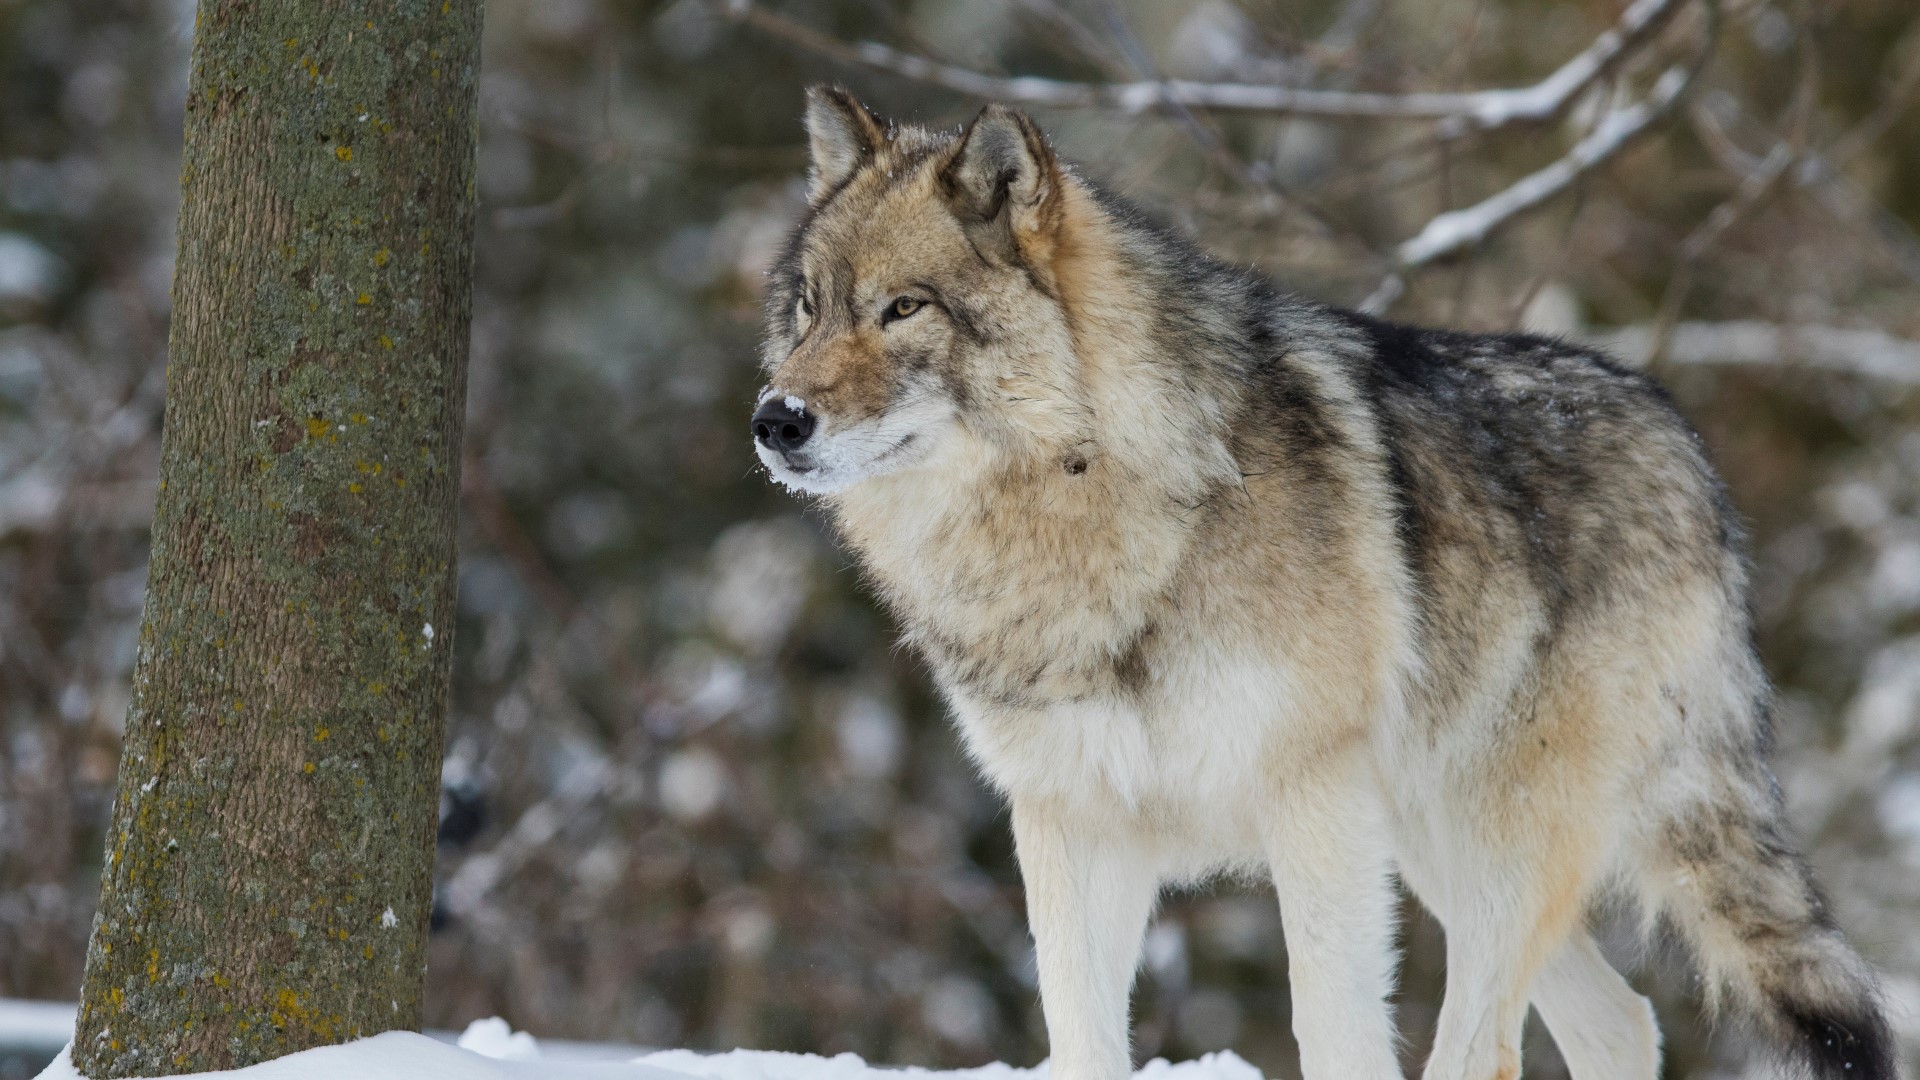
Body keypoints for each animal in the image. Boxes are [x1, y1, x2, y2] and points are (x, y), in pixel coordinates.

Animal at [748, 85, 1896, 1080]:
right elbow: (1078, 1039)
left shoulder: (1313, 807)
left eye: (904, 308)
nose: (774, 420)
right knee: (1617, 1023)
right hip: (1443, 850)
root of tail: (1689, 452)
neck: (1099, 518)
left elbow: (1335, 1032)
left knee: (1488, 1044)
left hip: (1494, 849)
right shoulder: (1070, 823)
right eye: (806, 308)